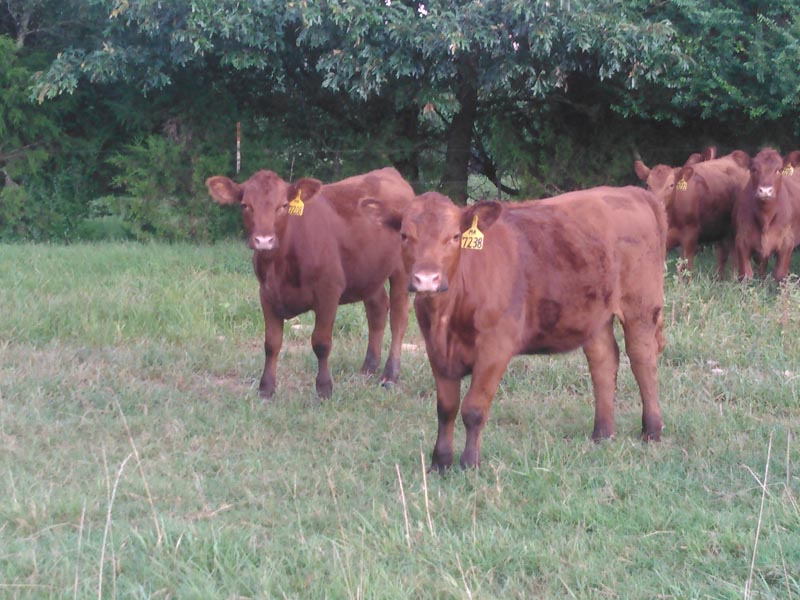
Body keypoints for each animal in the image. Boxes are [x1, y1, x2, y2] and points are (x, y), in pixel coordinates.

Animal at [206, 167, 414, 398]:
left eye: (283, 205)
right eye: (245, 205)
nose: (264, 240)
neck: (280, 265)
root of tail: (389, 171)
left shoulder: (328, 290)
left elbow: (321, 342)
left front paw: (324, 389)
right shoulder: (266, 293)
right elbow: (271, 343)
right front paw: (266, 388)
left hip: (401, 271)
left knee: (399, 316)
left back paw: (390, 375)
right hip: (368, 271)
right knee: (377, 309)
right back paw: (368, 368)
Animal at [363, 187, 667, 472]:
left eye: (454, 237)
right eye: (404, 235)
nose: (427, 279)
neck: (446, 316)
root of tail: (631, 191)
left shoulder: (495, 348)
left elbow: (473, 408)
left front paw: (469, 463)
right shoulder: (436, 350)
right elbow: (446, 408)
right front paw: (440, 463)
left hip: (640, 306)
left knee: (643, 361)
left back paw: (651, 431)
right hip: (595, 314)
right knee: (603, 362)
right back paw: (602, 434)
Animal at [733, 148, 800, 282]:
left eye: (778, 170)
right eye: (754, 169)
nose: (765, 190)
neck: (765, 218)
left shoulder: (787, 242)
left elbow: (780, 275)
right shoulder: (742, 240)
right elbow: (746, 275)